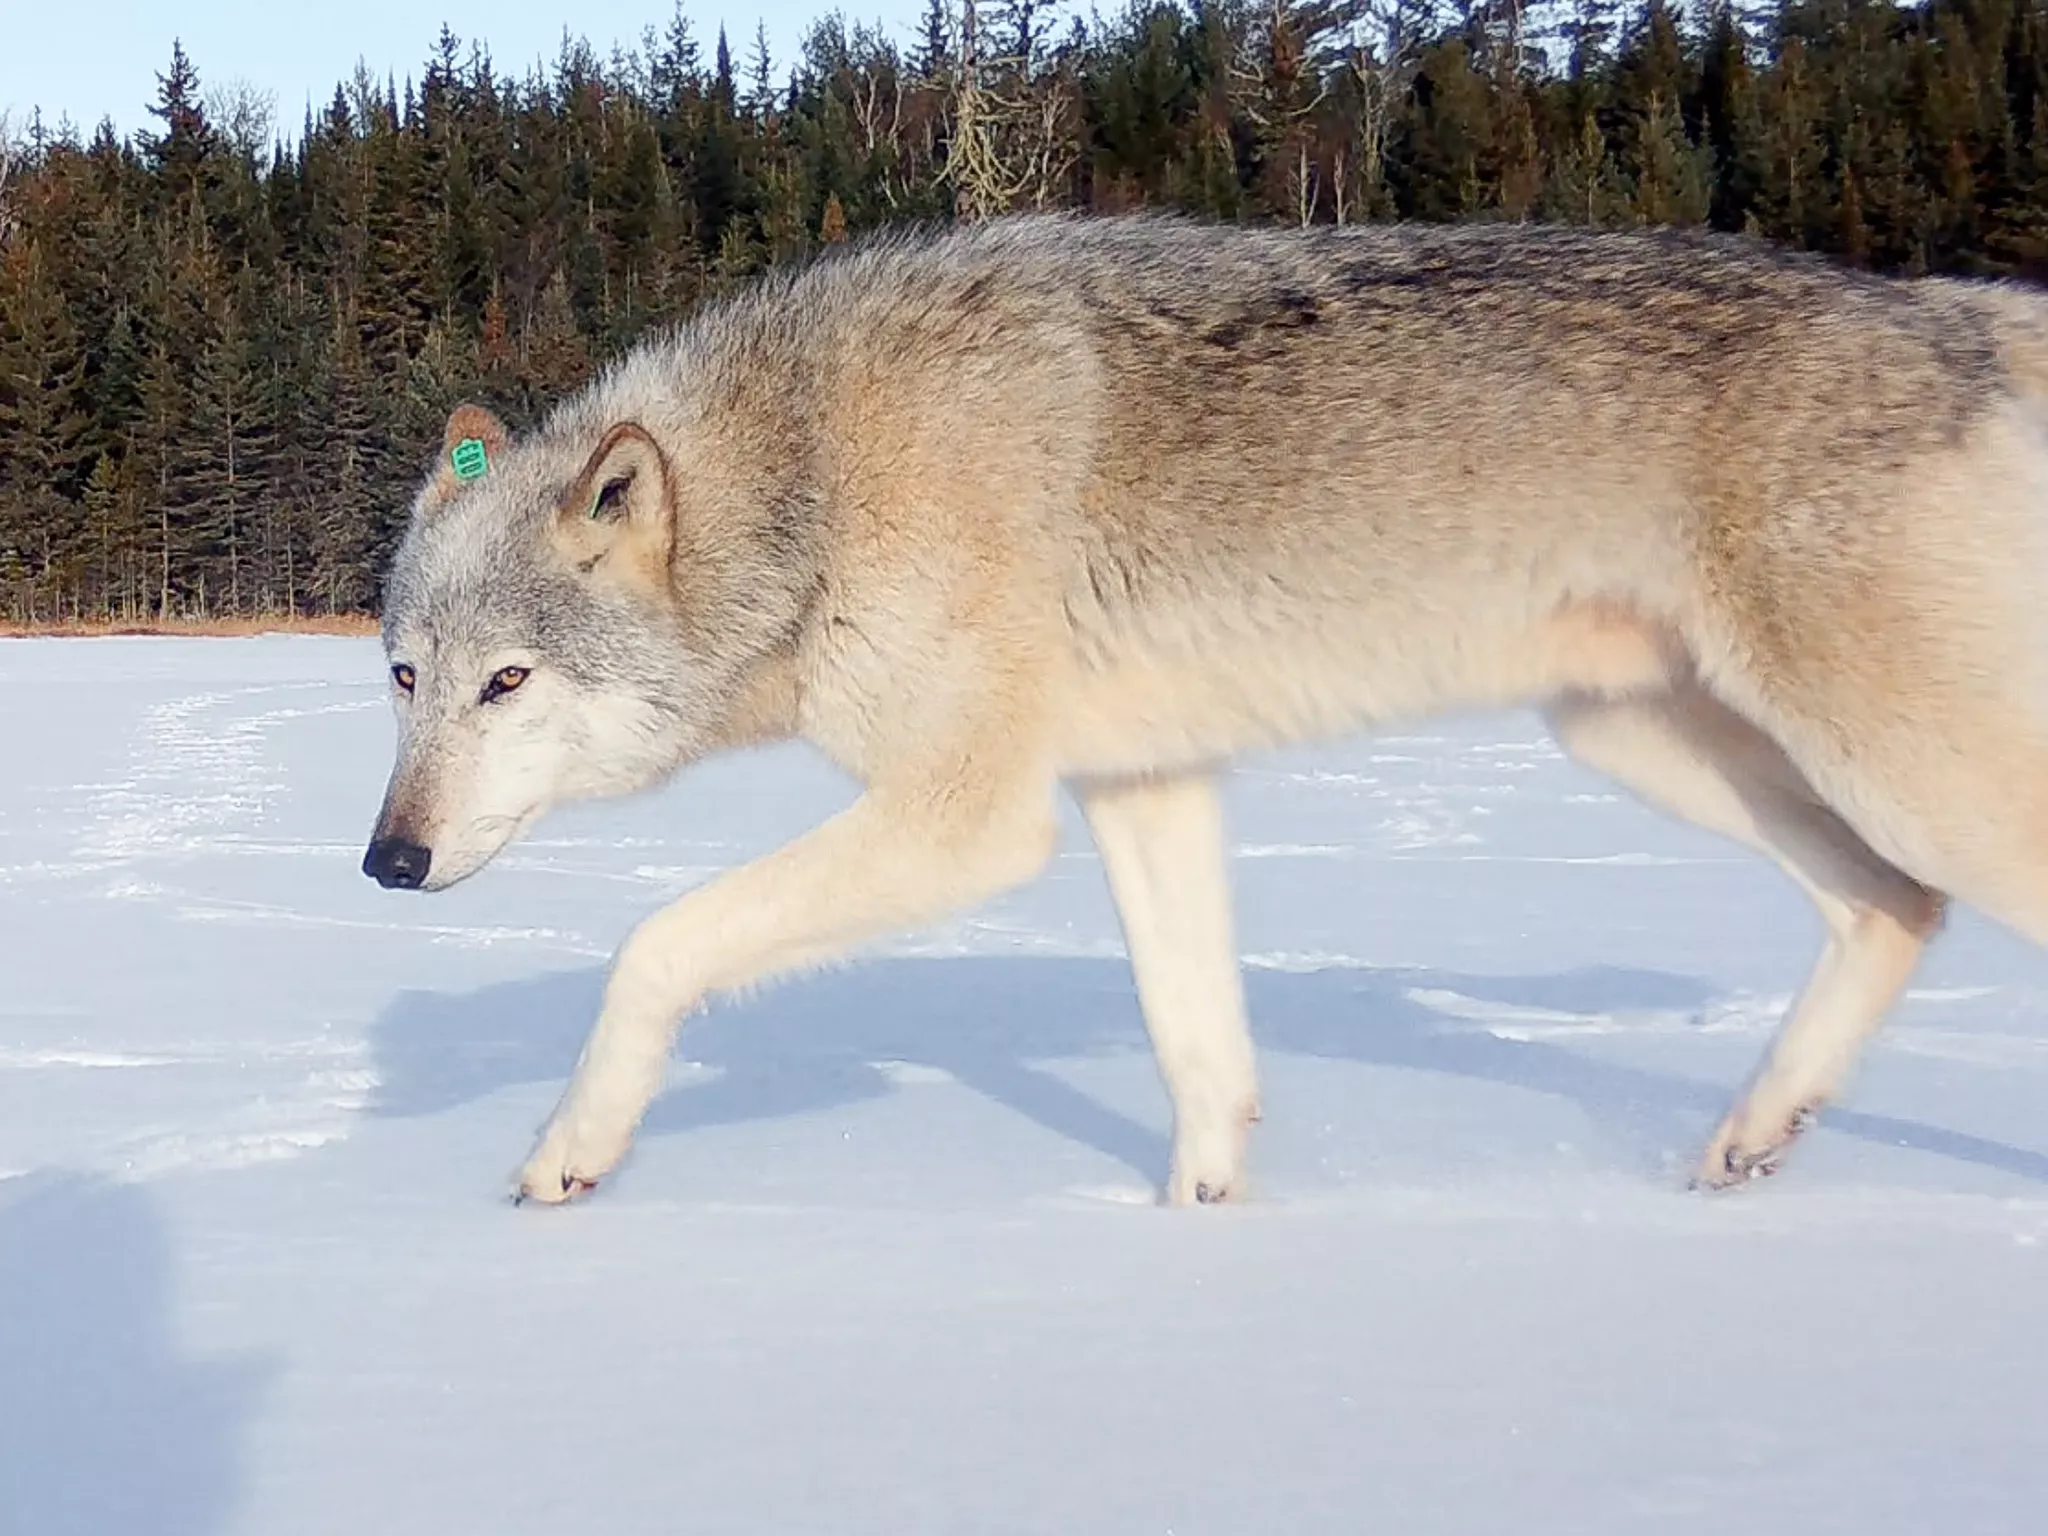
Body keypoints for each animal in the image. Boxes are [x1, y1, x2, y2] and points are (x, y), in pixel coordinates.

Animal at [363, 211, 2048, 1207]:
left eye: (509, 682)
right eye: (403, 678)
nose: (386, 862)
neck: (816, 474)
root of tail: (1949, 311)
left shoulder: (974, 822)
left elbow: (657, 948)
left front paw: (570, 1150)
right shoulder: (1141, 787)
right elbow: (1199, 1051)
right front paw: (1197, 1240)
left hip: (1885, 762)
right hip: (1660, 743)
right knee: (1894, 909)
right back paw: (1753, 1135)